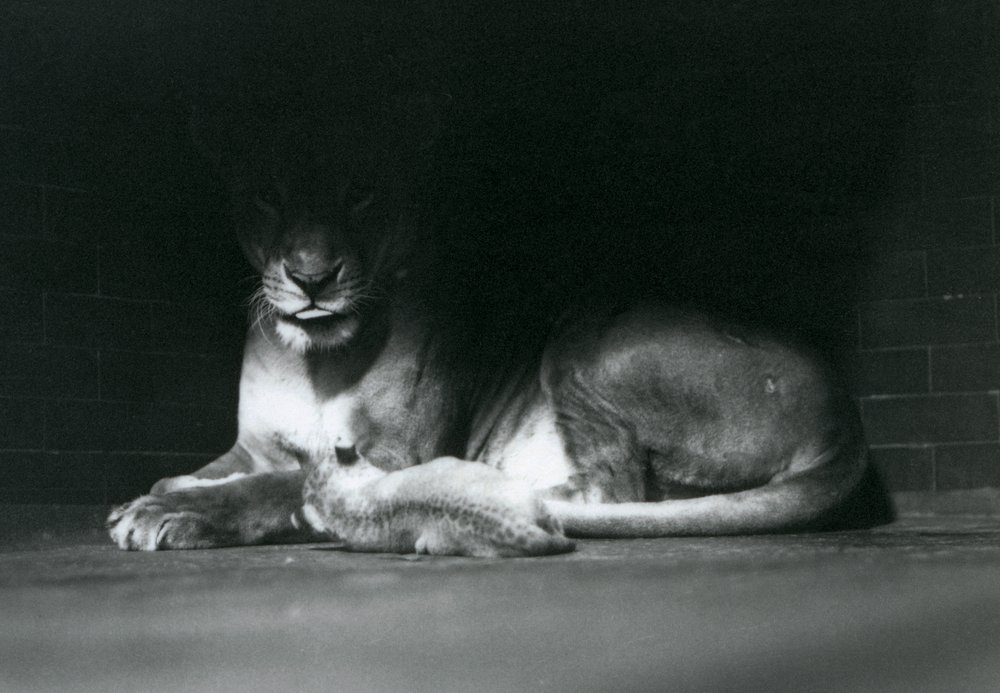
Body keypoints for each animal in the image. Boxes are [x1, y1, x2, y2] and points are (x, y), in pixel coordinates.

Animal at [107, 168, 873, 555]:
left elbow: (281, 484)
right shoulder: (253, 444)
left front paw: (170, 510)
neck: (313, 356)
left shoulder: (394, 453)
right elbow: (226, 470)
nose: (312, 276)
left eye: (363, 194)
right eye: (267, 195)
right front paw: (170, 488)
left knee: (614, 492)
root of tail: (848, 421)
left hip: (587, 335)